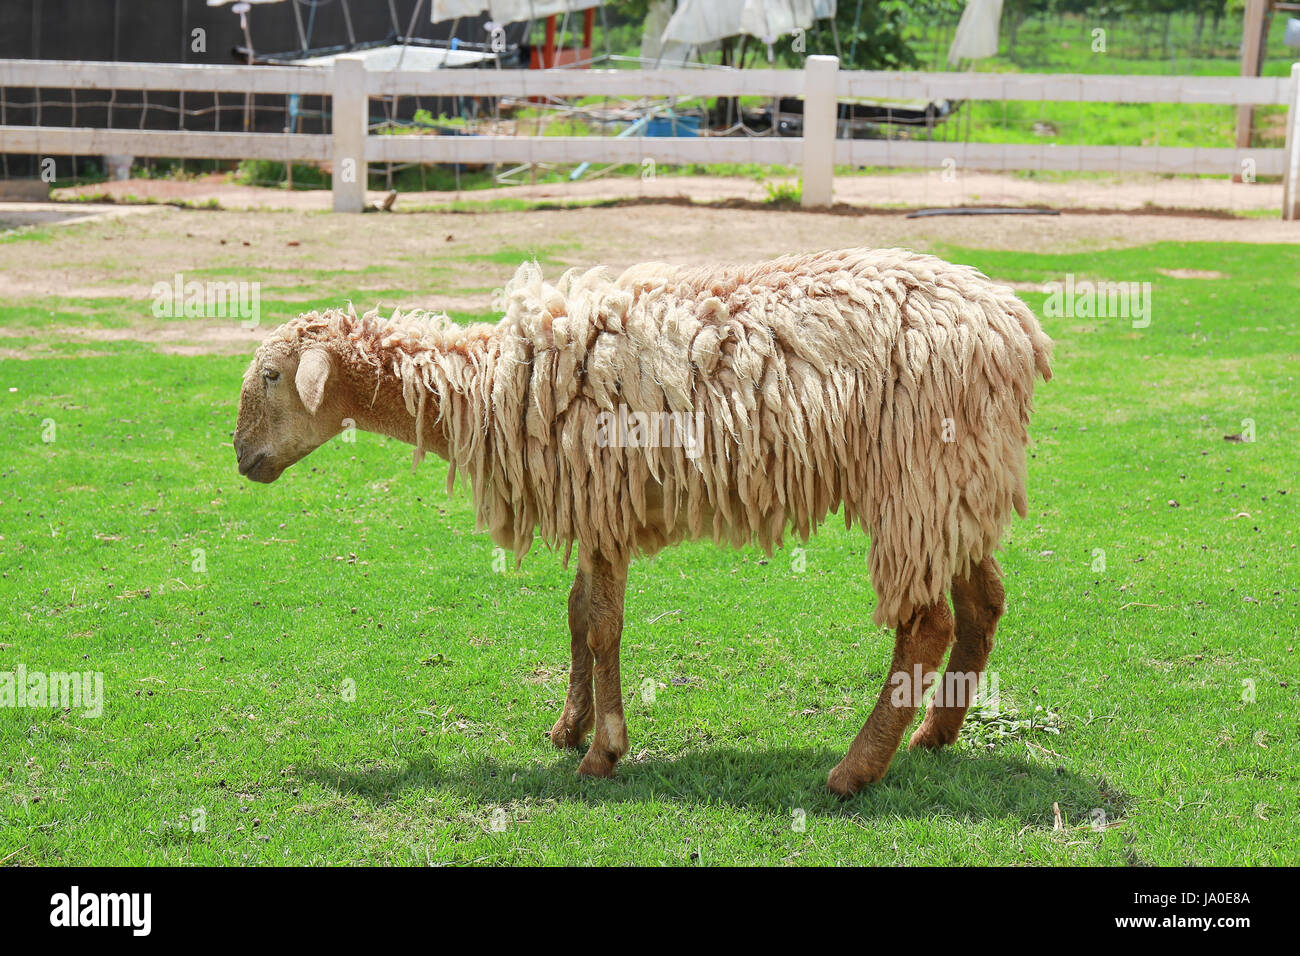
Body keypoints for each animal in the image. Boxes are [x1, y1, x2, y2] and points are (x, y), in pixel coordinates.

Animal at [232, 247, 1053, 795]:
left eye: (270, 377)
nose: (241, 458)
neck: (486, 387)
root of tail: (1015, 327)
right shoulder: (597, 509)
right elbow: (576, 616)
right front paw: (568, 728)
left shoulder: (603, 499)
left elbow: (601, 628)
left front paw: (604, 751)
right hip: (954, 485)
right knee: (984, 602)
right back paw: (933, 736)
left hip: (917, 476)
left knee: (926, 625)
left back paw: (855, 768)